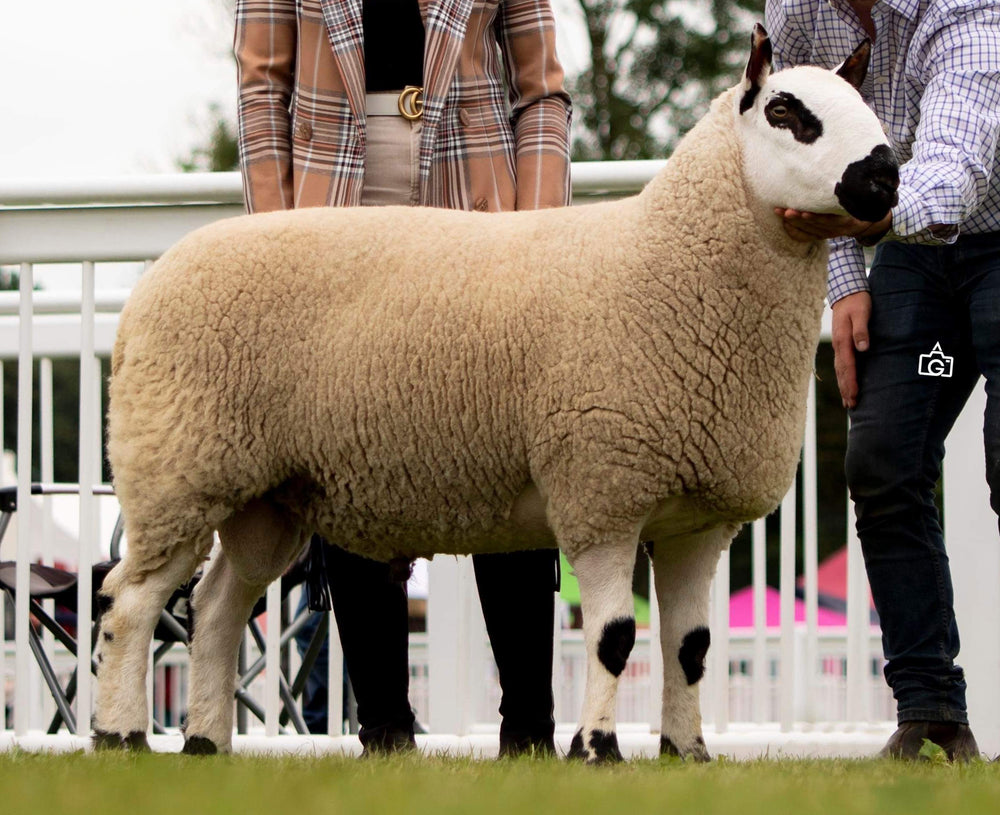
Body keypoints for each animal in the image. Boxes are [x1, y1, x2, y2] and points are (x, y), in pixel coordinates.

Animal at [93, 26, 898, 761]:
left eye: (865, 106)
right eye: (787, 112)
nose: (885, 174)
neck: (669, 258)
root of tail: (147, 293)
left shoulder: (696, 517)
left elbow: (690, 647)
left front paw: (687, 752)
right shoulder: (601, 490)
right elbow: (614, 638)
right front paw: (598, 749)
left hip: (264, 494)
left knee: (214, 608)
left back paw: (204, 741)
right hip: (177, 466)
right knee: (131, 603)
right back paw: (122, 735)